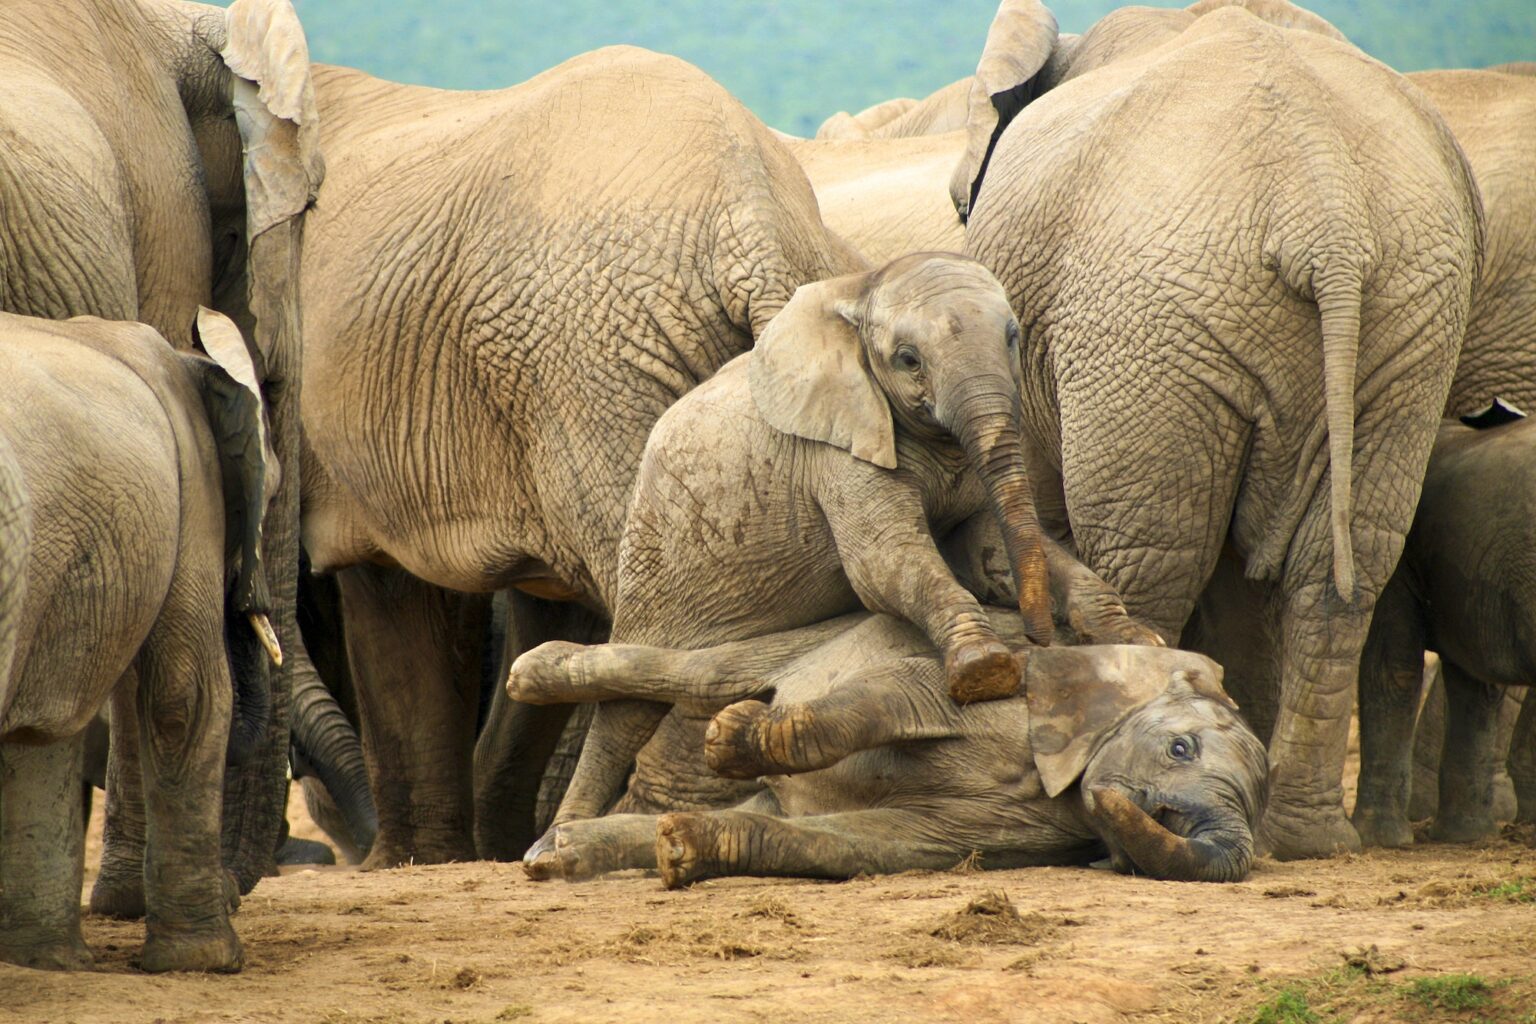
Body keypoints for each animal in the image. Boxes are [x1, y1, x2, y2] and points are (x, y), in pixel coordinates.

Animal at [0, 308, 272, 972]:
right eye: (275, 487)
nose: (233, 891)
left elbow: (45, 728)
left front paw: (48, 964)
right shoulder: (194, 481)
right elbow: (186, 694)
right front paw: (208, 963)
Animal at [506, 608, 1268, 885]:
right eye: (1180, 749)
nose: (1120, 798)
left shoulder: (1027, 829)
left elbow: (874, 845)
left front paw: (681, 850)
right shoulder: (1008, 681)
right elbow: (895, 694)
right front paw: (729, 737)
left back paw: (556, 854)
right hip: (826, 632)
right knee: (705, 671)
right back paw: (532, 672)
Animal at [954, 0, 1483, 859]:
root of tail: (1327, 215)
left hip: (1146, 324)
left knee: (1149, 559)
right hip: (1406, 321)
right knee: (1343, 566)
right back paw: (1302, 839)